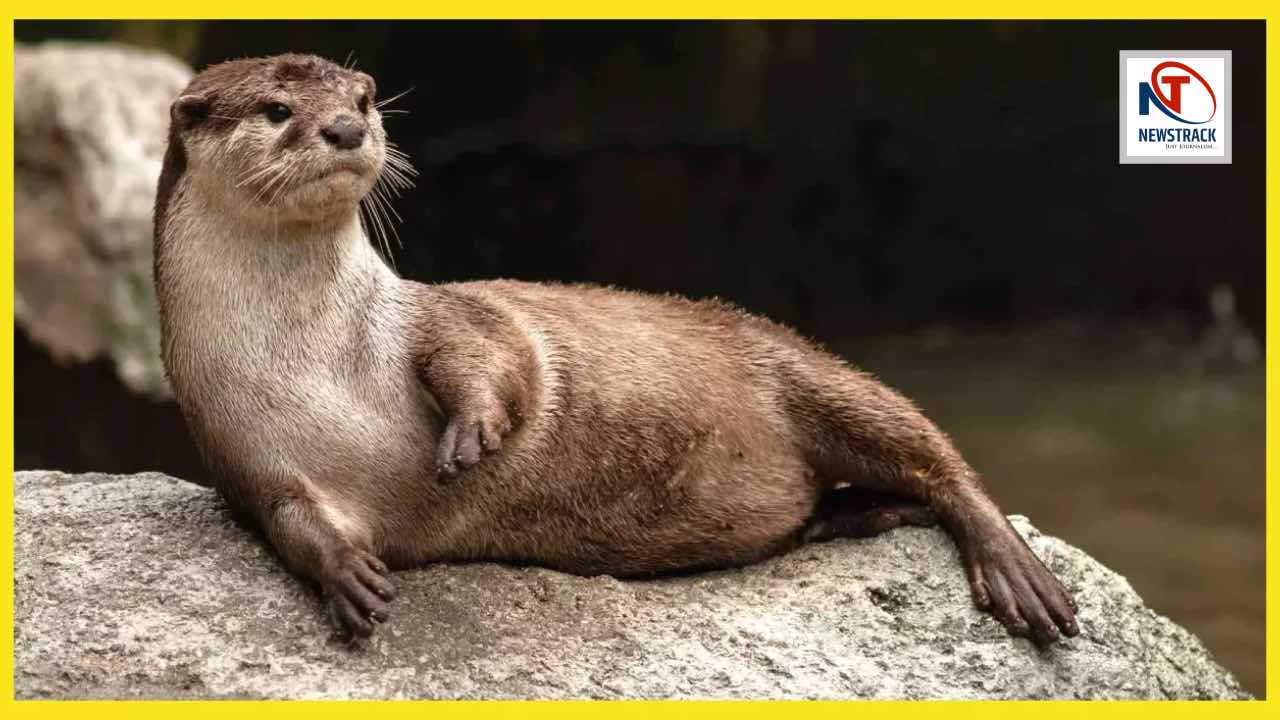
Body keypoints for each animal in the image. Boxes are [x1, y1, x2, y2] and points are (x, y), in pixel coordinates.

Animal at [154, 54, 1078, 644]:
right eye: (278, 111)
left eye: (367, 96)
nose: (346, 128)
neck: (320, 360)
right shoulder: (239, 444)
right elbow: (290, 519)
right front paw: (349, 577)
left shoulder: (440, 316)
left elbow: (496, 353)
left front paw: (472, 432)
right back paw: (863, 515)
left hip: (795, 365)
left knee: (931, 450)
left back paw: (1014, 570)